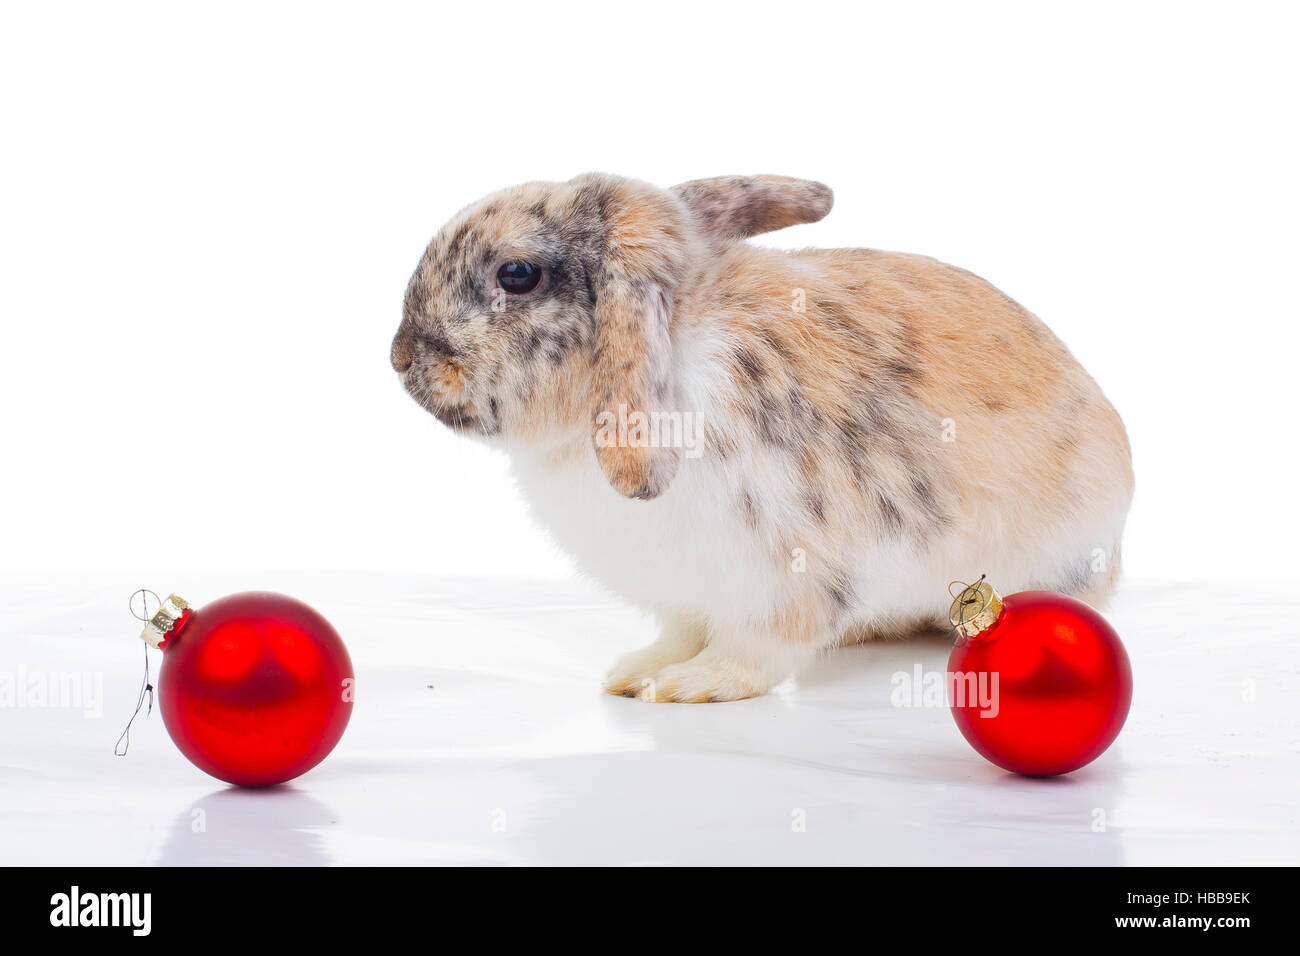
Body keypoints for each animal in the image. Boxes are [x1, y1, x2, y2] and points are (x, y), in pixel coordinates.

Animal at [390, 173, 1133, 702]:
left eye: (516, 275)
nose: (400, 358)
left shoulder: (780, 578)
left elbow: (757, 648)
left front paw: (694, 684)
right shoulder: (688, 590)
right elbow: (680, 631)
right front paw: (638, 672)